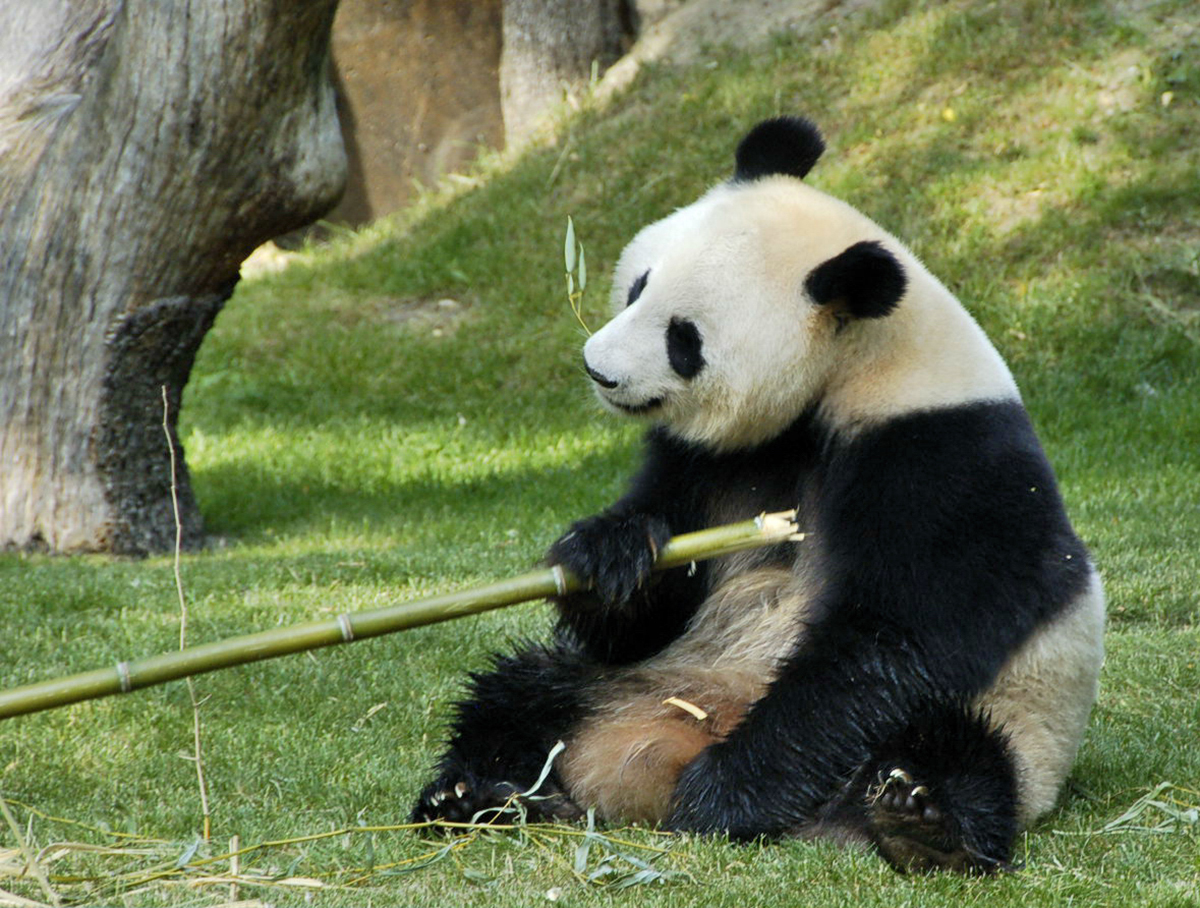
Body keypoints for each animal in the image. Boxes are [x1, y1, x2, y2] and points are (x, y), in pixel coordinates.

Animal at [412, 116, 1105, 873]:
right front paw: (610, 556)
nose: (599, 370)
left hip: (1021, 715)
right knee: (519, 693)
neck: (855, 370)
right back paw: (479, 795)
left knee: (956, 752)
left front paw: (722, 795)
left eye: (684, 338)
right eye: (638, 287)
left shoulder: (940, 460)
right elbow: (654, 594)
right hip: (638, 678)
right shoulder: (706, 459)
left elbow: (898, 637)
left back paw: (921, 822)